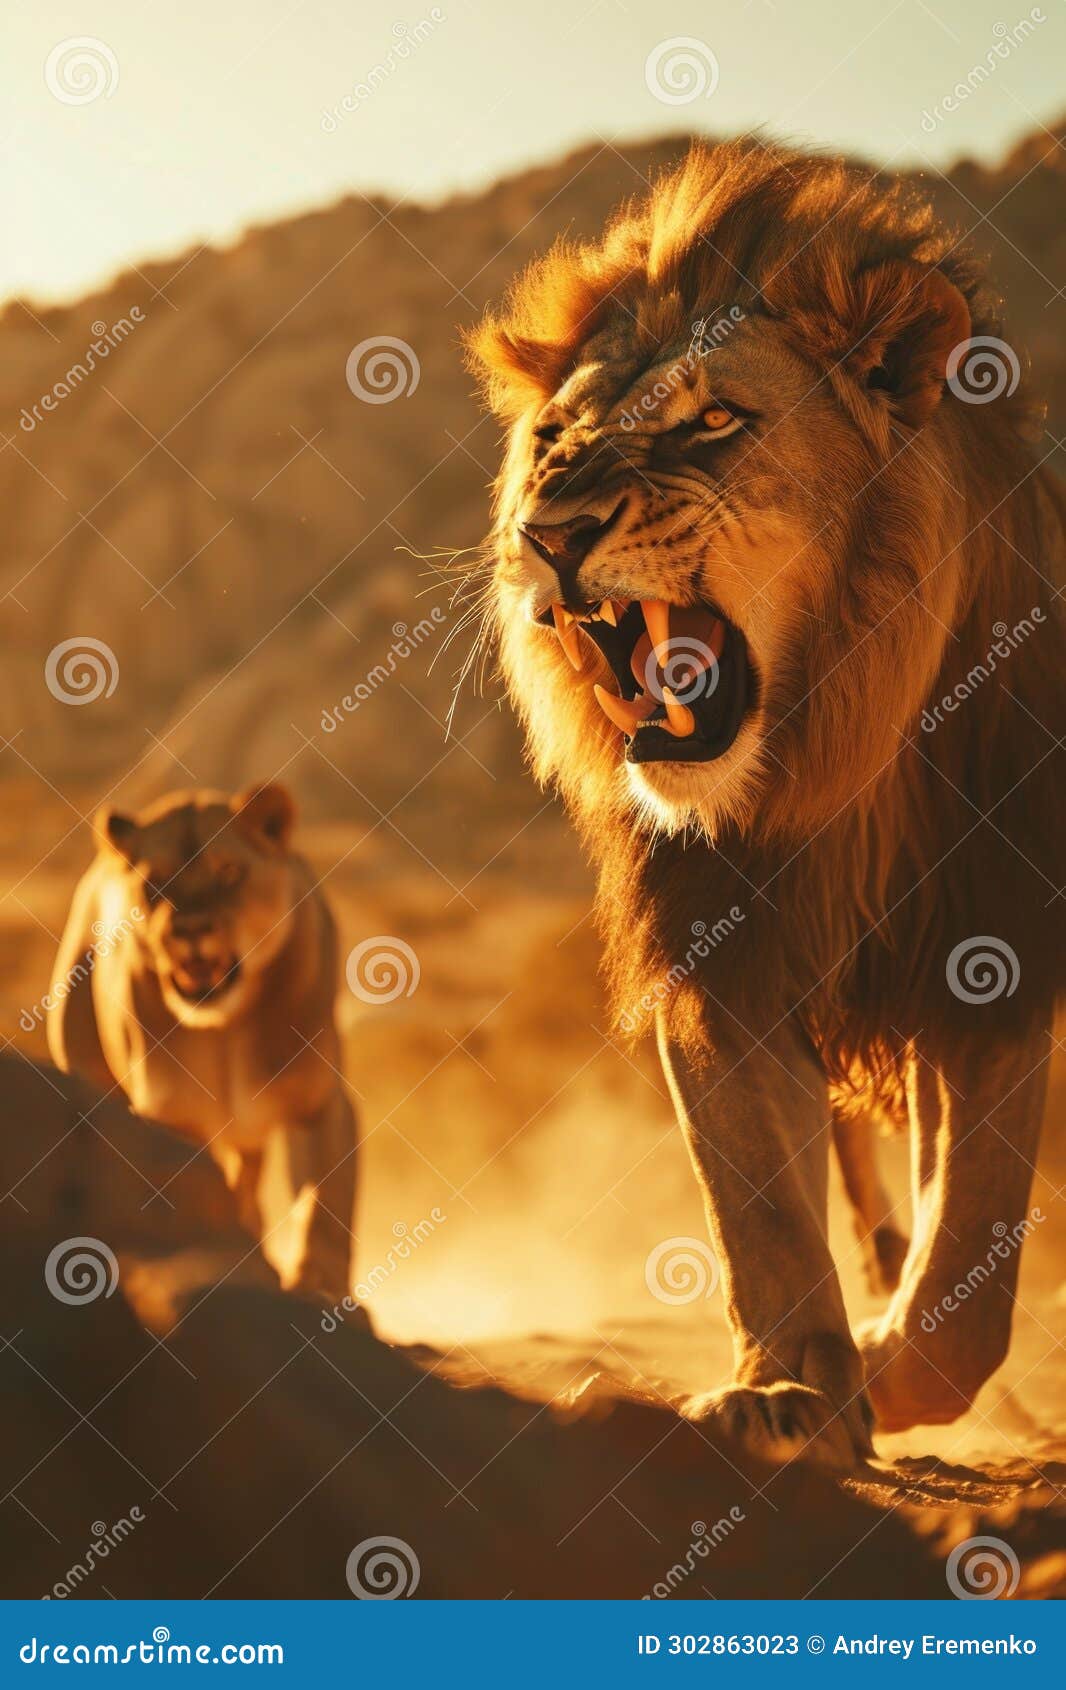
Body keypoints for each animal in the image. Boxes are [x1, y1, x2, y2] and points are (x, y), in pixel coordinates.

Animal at [47, 783, 358, 1303]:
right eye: (154, 884)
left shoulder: (318, 1103)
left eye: (229, 871)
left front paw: (320, 1285)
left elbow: (325, 1204)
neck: (225, 1032)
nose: (190, 929)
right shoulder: (169, 1120)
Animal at [468, 140, 1065, 1466]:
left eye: (713, 422)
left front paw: (893, 1366)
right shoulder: (714, 943)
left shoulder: (991, 943)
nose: (549, 530)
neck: (829, 756)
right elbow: (756, 1198)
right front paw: (789, 1385)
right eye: (554, 440)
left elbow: (972, 1256)